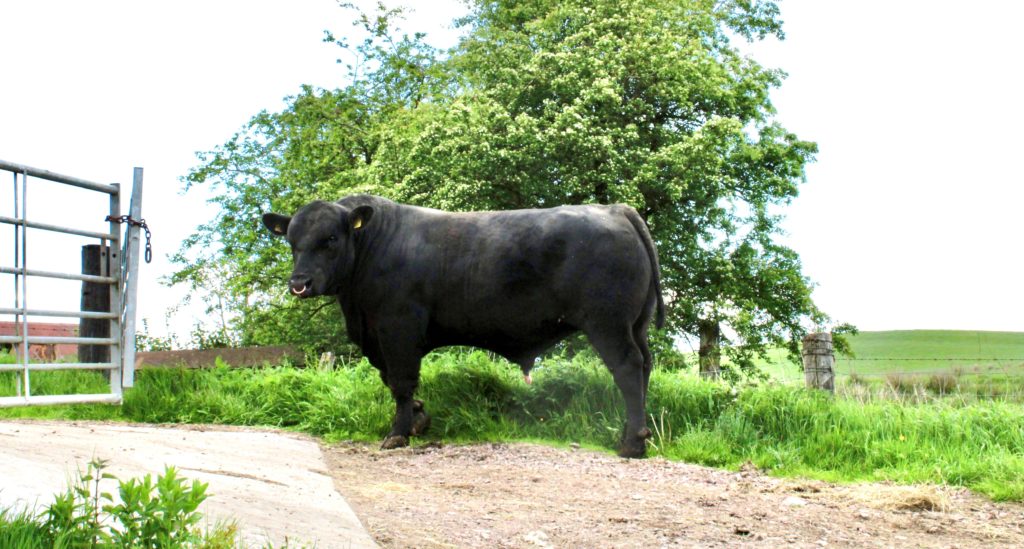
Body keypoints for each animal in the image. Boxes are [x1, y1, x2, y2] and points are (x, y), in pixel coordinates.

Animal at [263, 194, 665, 457]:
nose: (299, 283)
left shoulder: (397, 327)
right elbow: (391, 380)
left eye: (330, 239)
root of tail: (615, 208)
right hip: (636, 324)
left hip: (608, 323)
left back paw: (631, 443)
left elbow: (401, 381)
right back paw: (637, 435)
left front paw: (398, 433)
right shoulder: (378, 338)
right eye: (292, 242)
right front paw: (418, 418)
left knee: (628, 368)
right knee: (645, 366)